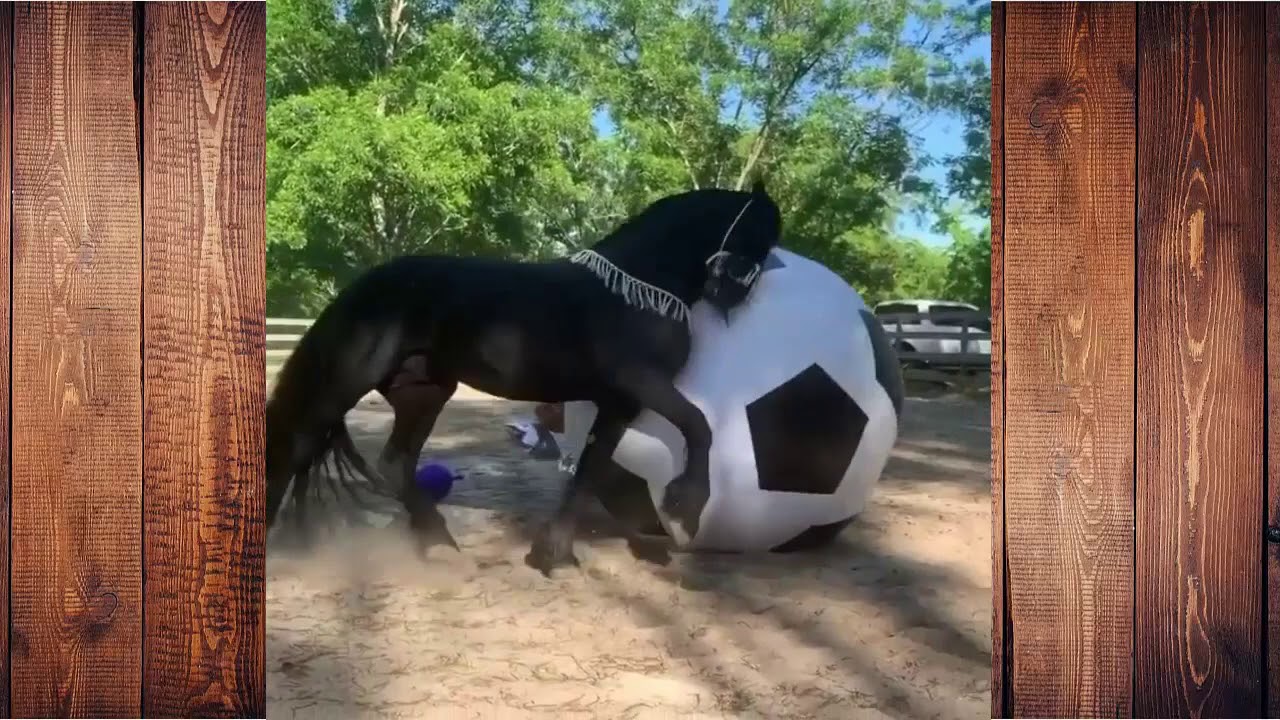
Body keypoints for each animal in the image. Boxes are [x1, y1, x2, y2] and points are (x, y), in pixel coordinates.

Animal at [265, 182, 783, 576]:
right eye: (758, 236)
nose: (731, 297)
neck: (637, 290)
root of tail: (359, 286)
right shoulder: (641, 382)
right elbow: (699, 424)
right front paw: (686, 511)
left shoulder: (619, 402)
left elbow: (591, 469)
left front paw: (555, 556)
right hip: (345, 382)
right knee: (295, 443)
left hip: (424, 392)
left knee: (395, 463)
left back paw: (439, 542)